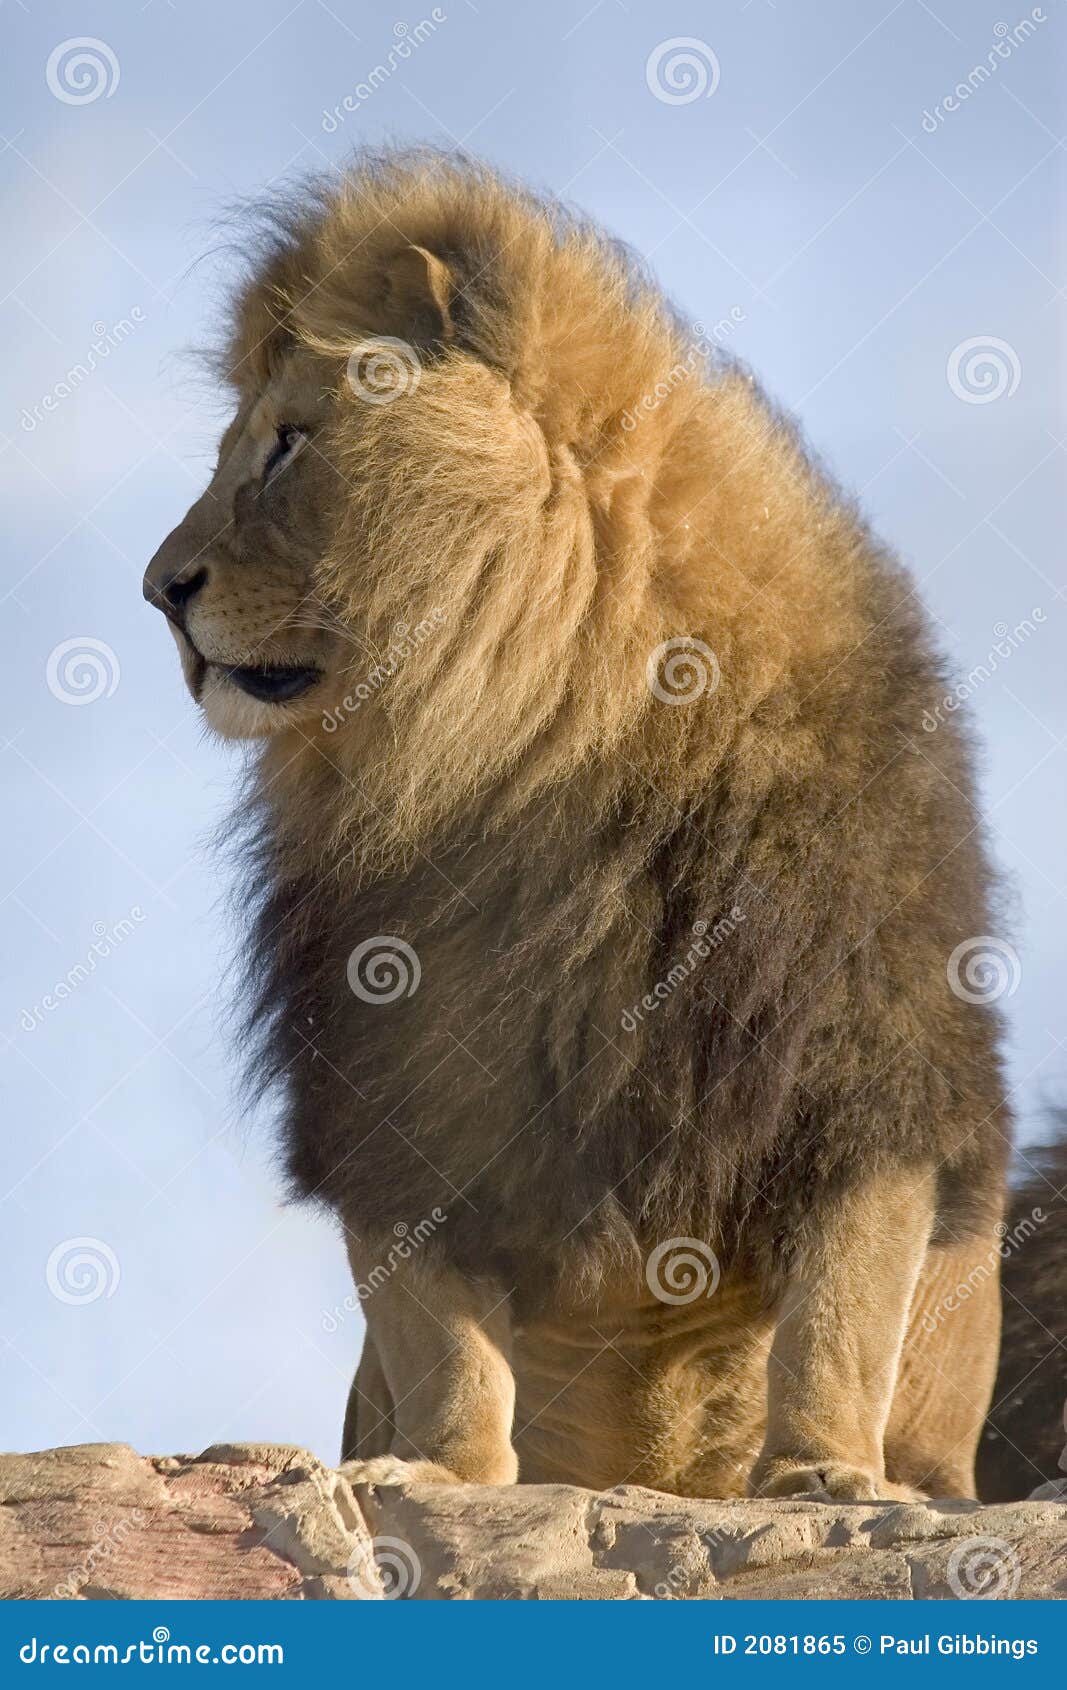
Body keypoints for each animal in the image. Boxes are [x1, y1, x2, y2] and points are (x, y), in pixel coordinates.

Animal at [144, 148, 1019, 1504]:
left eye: (288, 444)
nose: (158, 589)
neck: (543, 751)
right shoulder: (399, 1088)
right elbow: (439, 1331)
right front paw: (441, 1476)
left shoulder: (864, 1055)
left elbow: (841, 1299)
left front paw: (819, 1472)